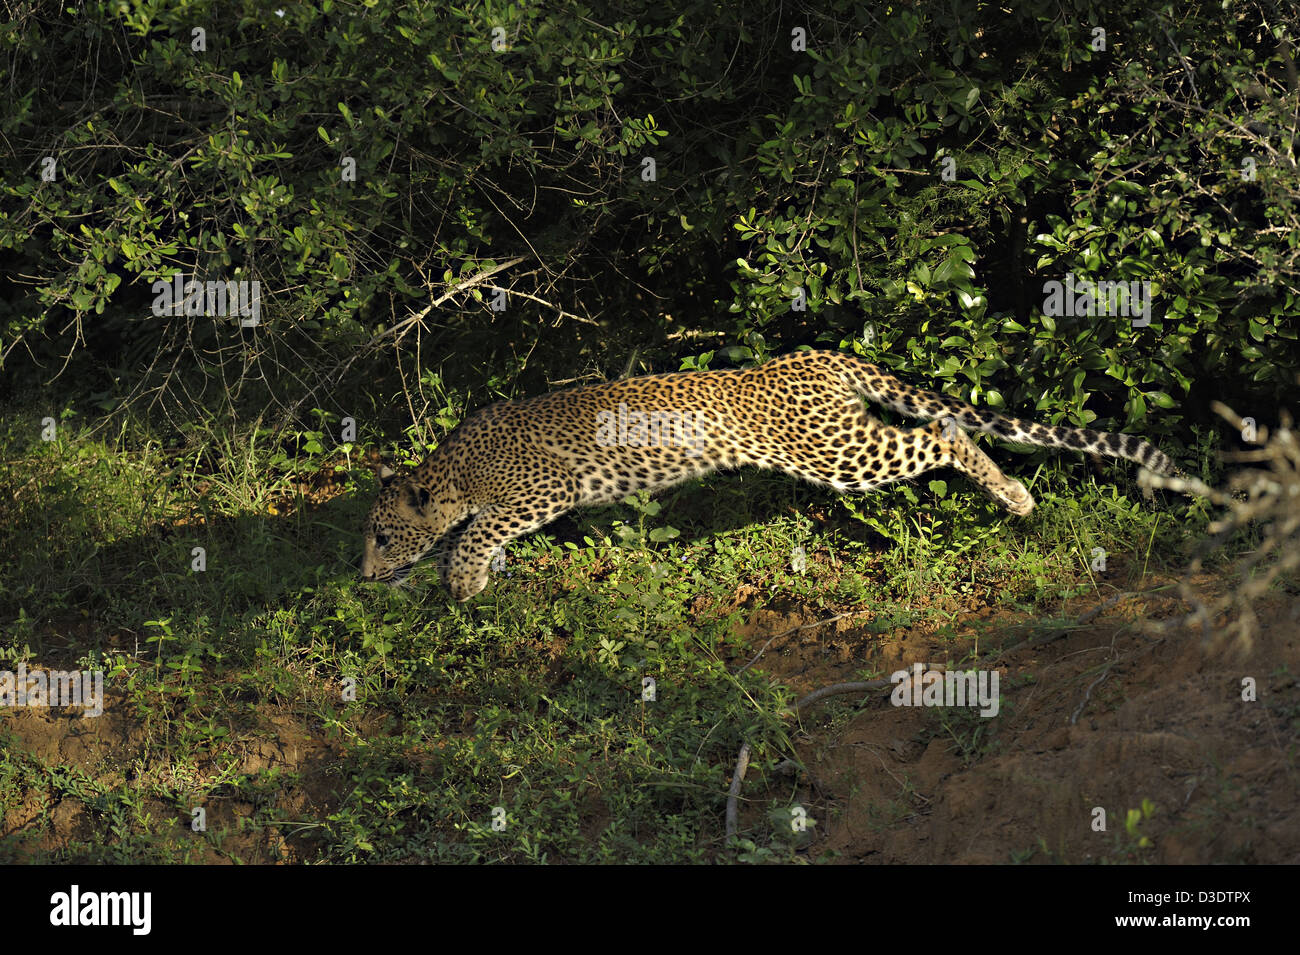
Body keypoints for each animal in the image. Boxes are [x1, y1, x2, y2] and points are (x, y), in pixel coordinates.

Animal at [360, 349, 1179, 600]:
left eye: (380, 535)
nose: (363, 576)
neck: (456, 467)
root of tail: (814, 354)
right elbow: (474, 534)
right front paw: (470, 574)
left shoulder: (543, 489)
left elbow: (481, 529)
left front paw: (464, 578)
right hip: (845, 437)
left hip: (837, 452)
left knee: (944, 432)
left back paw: (1012, 494)